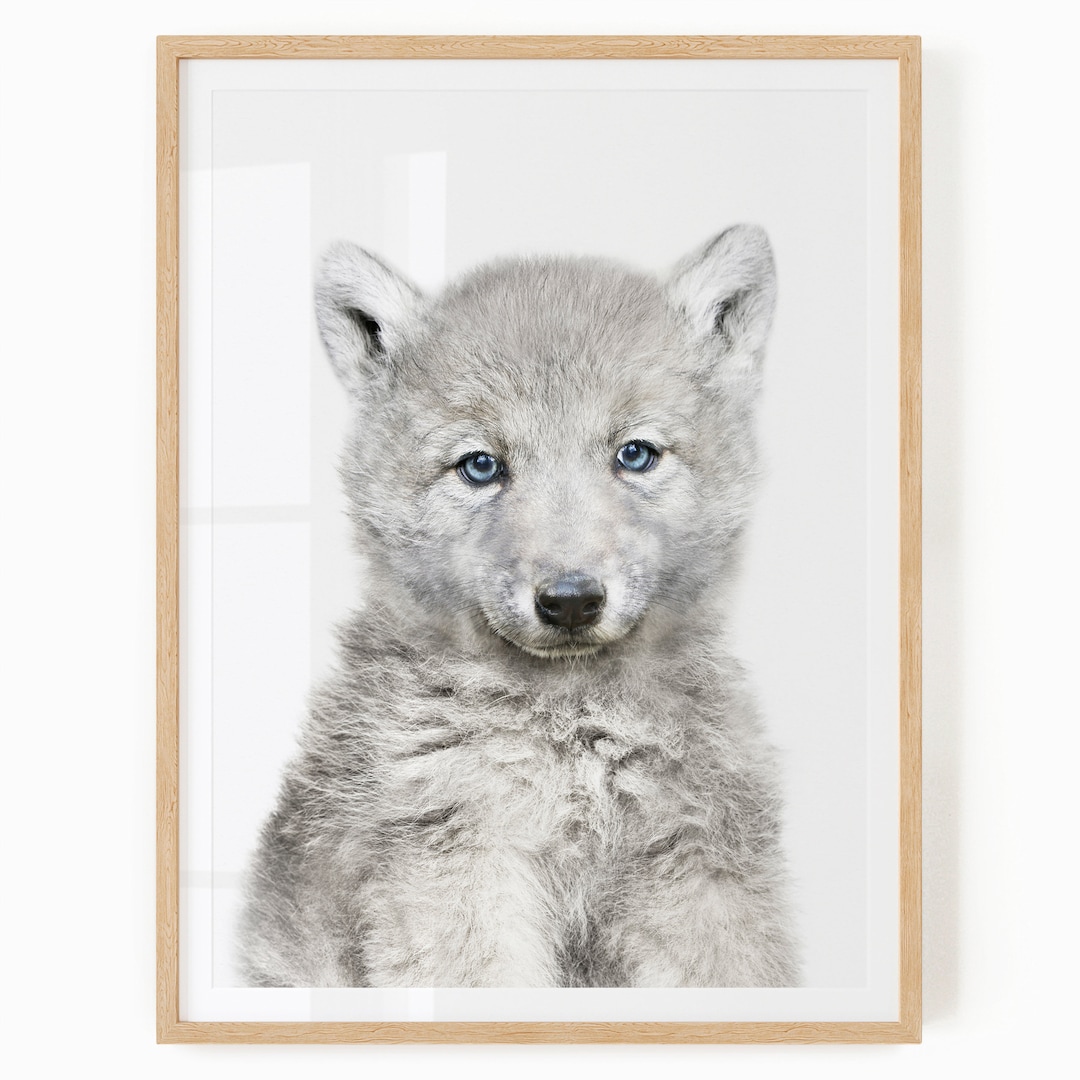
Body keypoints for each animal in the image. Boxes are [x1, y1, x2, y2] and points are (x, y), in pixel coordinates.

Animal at [238, 225, 798, 988]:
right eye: (481, 466)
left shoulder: (698, 869)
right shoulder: (459, 863)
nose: (571, 601)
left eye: (635, 454)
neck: (576, 733)